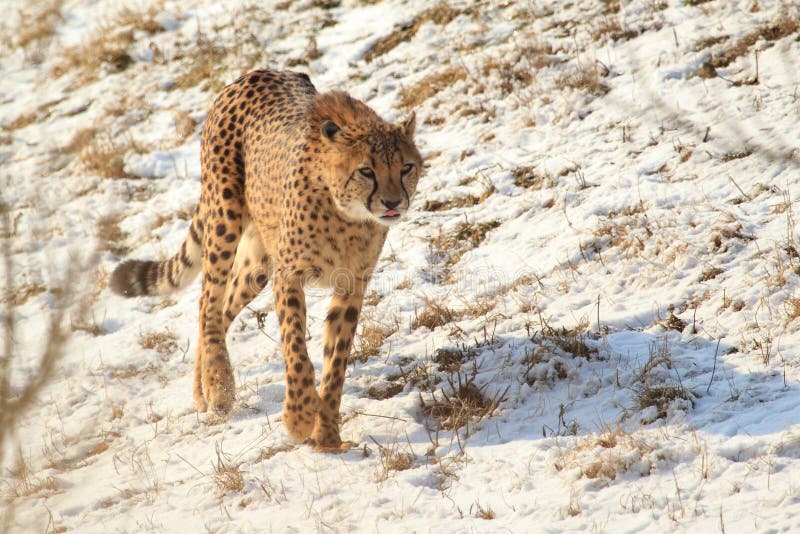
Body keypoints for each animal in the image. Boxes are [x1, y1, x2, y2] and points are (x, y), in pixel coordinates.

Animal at [110, 69, 422, 451]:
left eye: (406, 167)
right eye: (366, 171)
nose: (393, 203)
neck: (347, 215)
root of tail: (255, 73)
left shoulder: (351, 285)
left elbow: (336, 362)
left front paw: (327, 435)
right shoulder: (289, 275)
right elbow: (296, 350)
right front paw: (299, 418)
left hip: (256, 265)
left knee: (222, 308)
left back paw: (203, 388)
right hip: (224, 219)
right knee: (208, 303)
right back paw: (219, 385)